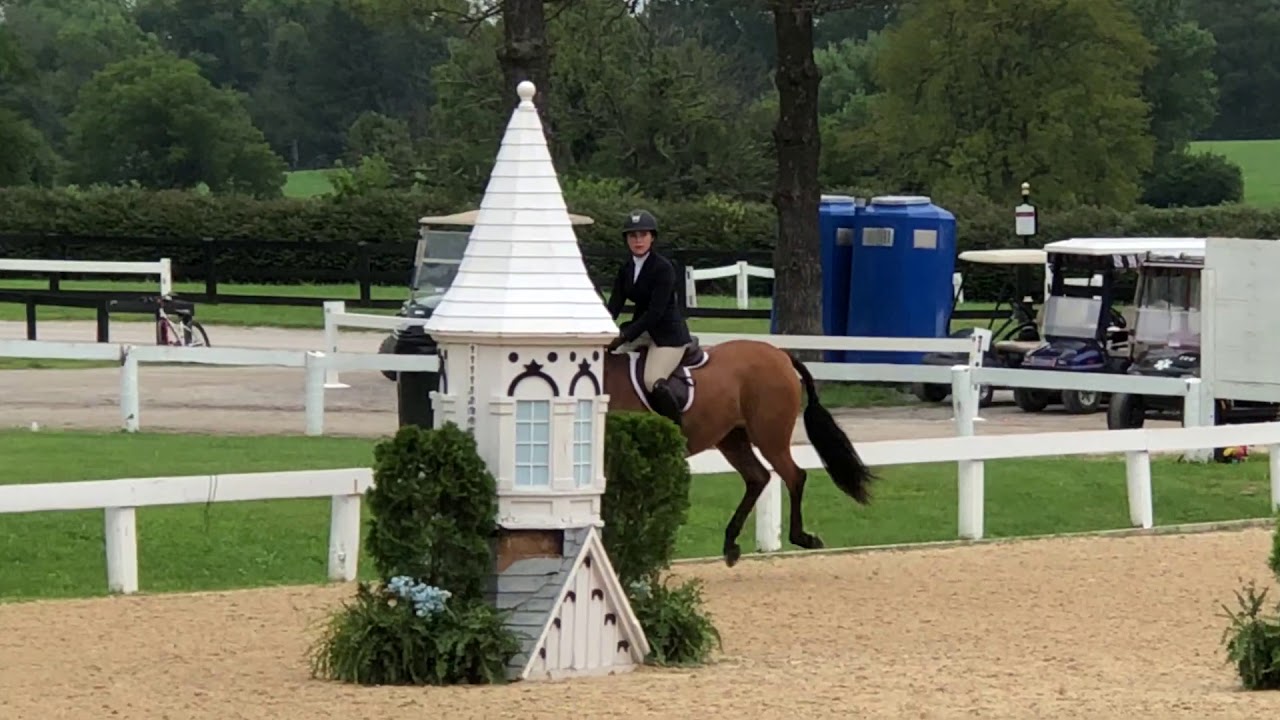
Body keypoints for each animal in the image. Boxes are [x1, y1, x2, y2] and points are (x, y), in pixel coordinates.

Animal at [601, 337, 875, 567]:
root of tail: (780, 353)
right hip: (732, 438)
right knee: (759, 477)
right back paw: (731, 544)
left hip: (769, 438)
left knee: (794, 476)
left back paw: (802, 538)